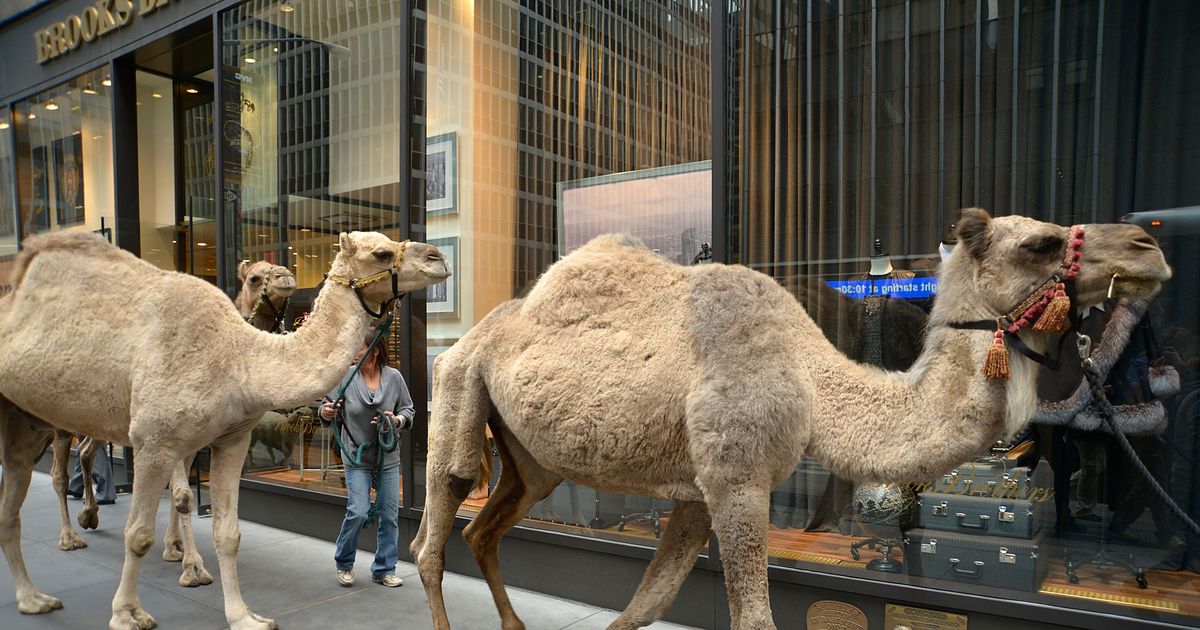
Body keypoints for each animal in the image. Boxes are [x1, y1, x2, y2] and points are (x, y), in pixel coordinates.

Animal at [0, 230, 448, 629]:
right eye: (381, 253)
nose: (438, 258)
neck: (238, 357)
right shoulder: (155, 442)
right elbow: (141, 532)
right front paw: (129, 613)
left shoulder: (231, 440)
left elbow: (228, 533)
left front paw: (245, 617)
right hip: (53, 422)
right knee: (58, 475)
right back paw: (70, 539)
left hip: (26, 424)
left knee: (16, 505)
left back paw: (34, 597)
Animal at [411, 208, 1171, 630]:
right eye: (1040, 242)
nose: (1148, 247)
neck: (813, 383)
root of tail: (478, 331)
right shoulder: (738, 482)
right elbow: (751, 617)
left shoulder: (702, 490)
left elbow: (645, 605)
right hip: (459, 390)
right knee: (435, 527)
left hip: (530, 457)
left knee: (487, 527)